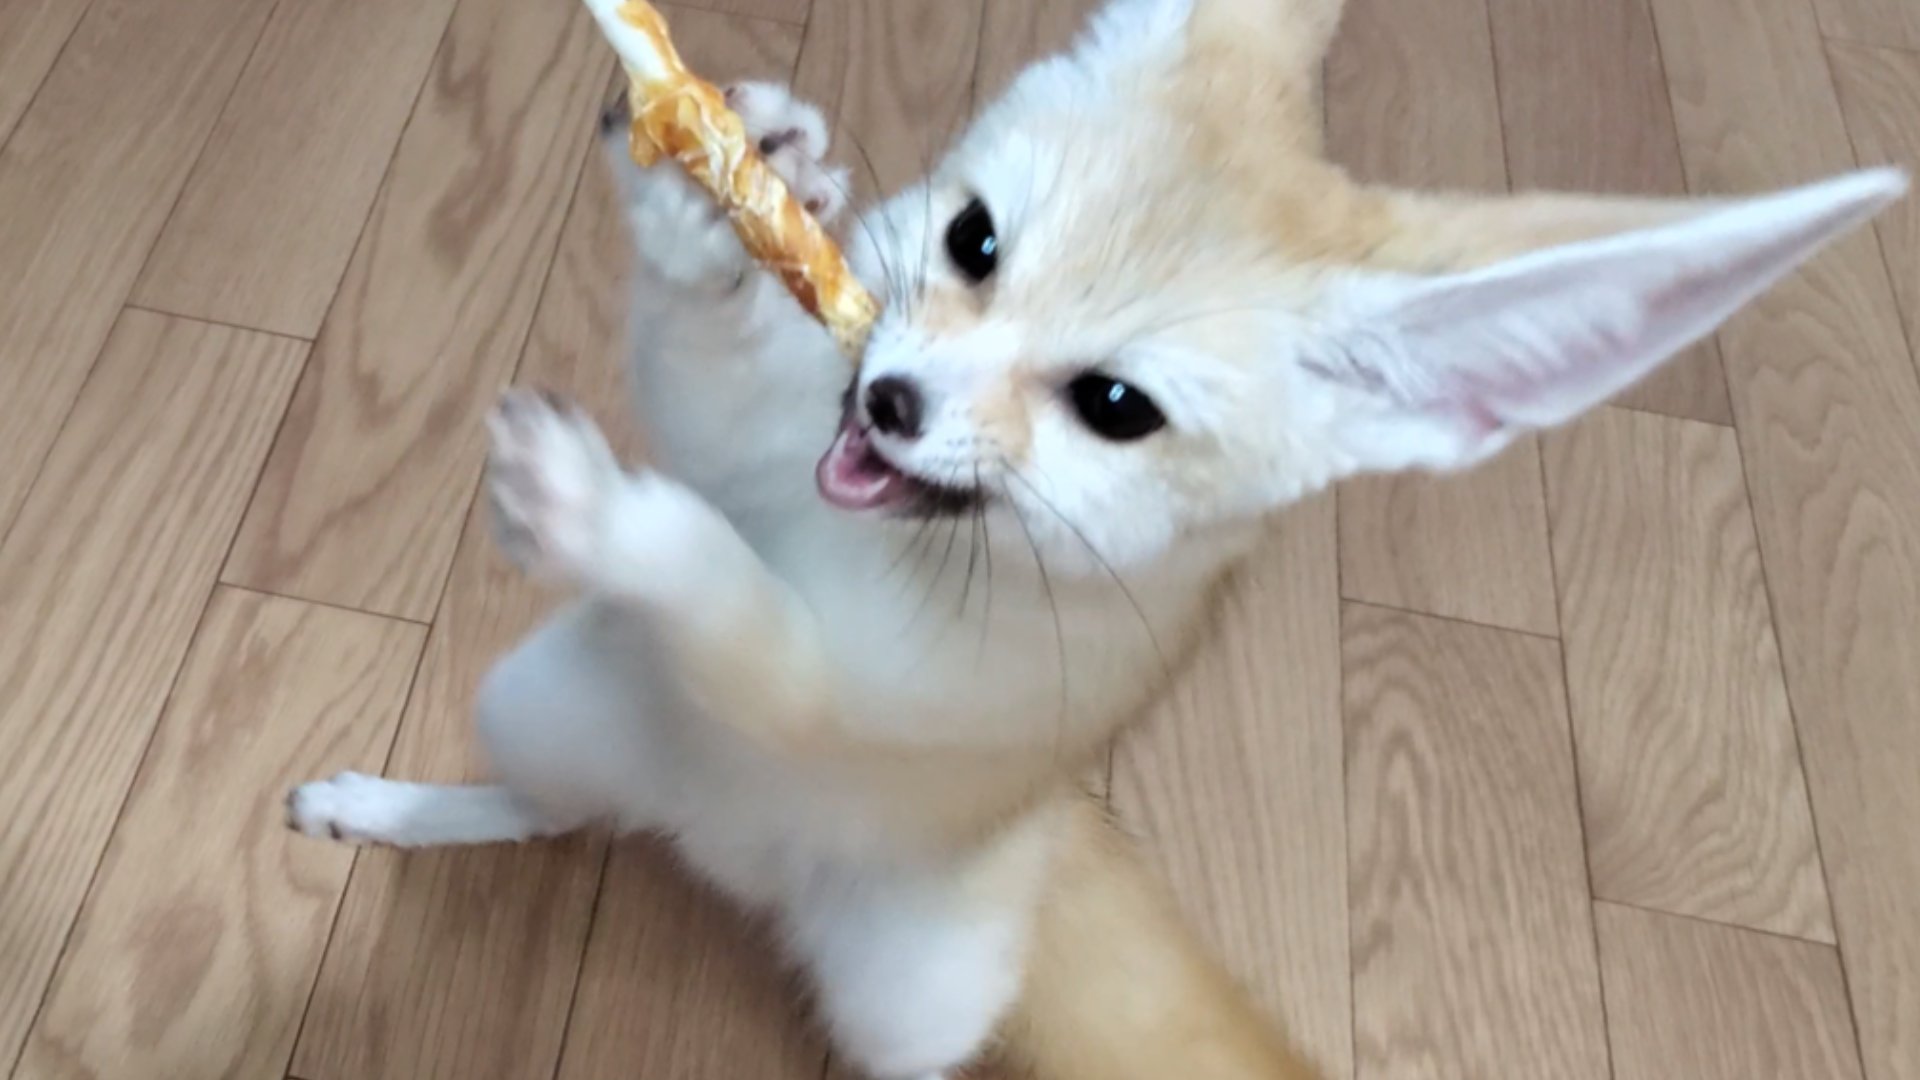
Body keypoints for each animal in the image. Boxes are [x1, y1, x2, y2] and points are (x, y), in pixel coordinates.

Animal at [285, 0, 1905, 1077]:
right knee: (554, 809)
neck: (891, 549)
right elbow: (706, 367)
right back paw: (391, 809)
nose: (891, 399)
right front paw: (727, 193)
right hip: (548, 697)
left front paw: (608, 512)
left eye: (1116, 408)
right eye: (973, 242)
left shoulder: (871, 706)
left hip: (912, 989)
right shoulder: (759, 440)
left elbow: (747, 627)